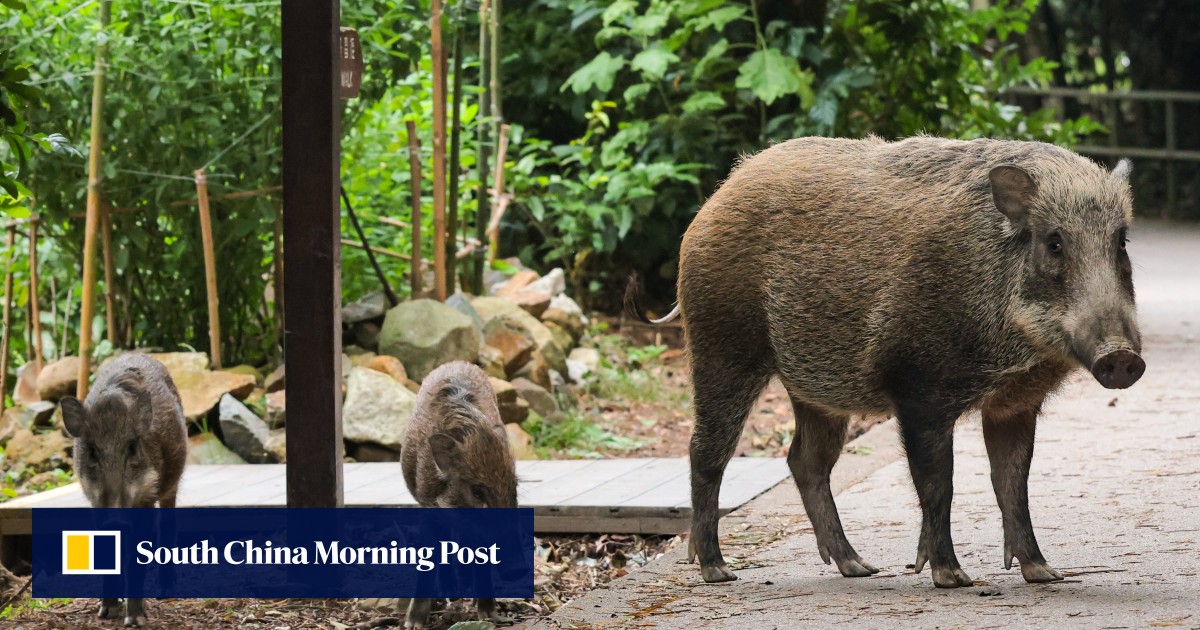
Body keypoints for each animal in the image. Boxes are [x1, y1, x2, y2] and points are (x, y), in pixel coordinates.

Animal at [59, 352, 188, 626]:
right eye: (92, 451)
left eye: (132, 447)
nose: (115, 520)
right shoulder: (96, 503)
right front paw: (107, 612)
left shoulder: (146, 498)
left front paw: (135, 621)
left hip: (171, 485)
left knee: (168, 525)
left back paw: (165, 593)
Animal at [401, 361, 518, 629]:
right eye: (477, 490)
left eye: (514, 486)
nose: (514, 570)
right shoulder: (428, 507)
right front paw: (413, 624)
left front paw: (491, 616)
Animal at [626, 136, 1143, 589]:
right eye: (1054, 243)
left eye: (1120, 241)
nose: (1122, 357)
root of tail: (715, 200)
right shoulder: (917, 389)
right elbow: (938, 483)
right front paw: (951, 578)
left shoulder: (1014, 402)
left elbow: (1013, 483)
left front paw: (1045, 574)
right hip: (722, 348)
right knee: (706, 452)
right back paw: (717, 571)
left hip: (814, 391)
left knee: (804, 460)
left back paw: (859, 568)